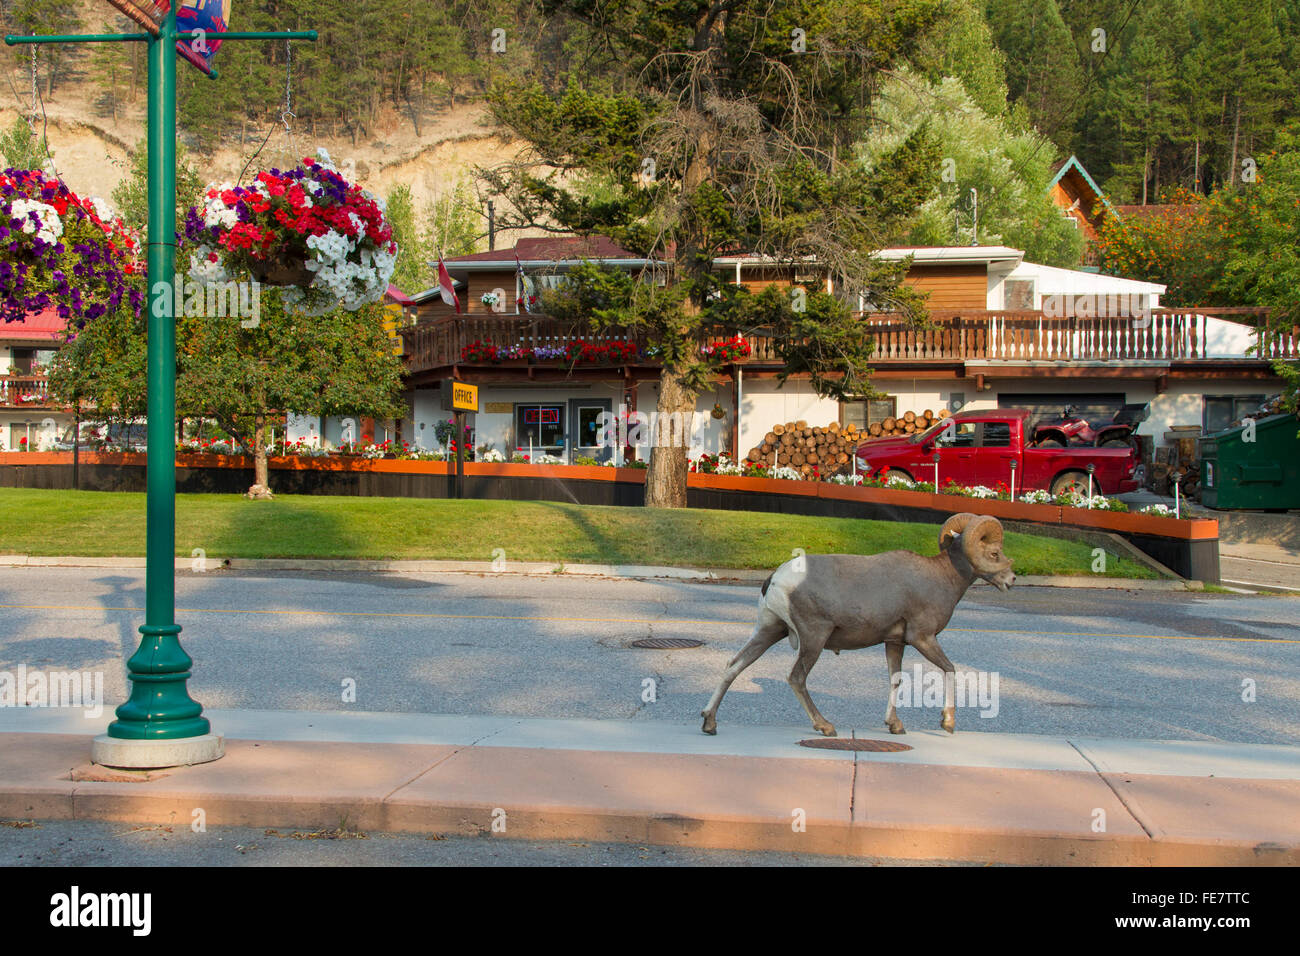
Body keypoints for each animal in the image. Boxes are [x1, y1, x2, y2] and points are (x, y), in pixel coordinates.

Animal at [700, 513, 1015, 737]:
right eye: (995, 554)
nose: (1011, 580)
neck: (940, 578)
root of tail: (775, 580)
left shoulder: (894, 642)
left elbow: (895, 679)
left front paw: (895, 726)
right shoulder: (922, 638)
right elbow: (950, 669)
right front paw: (947, 723)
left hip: (769, 631)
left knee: (735, 665)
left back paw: (709, 723)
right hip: (813, 639)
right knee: (796, 678)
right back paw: (825, 726)